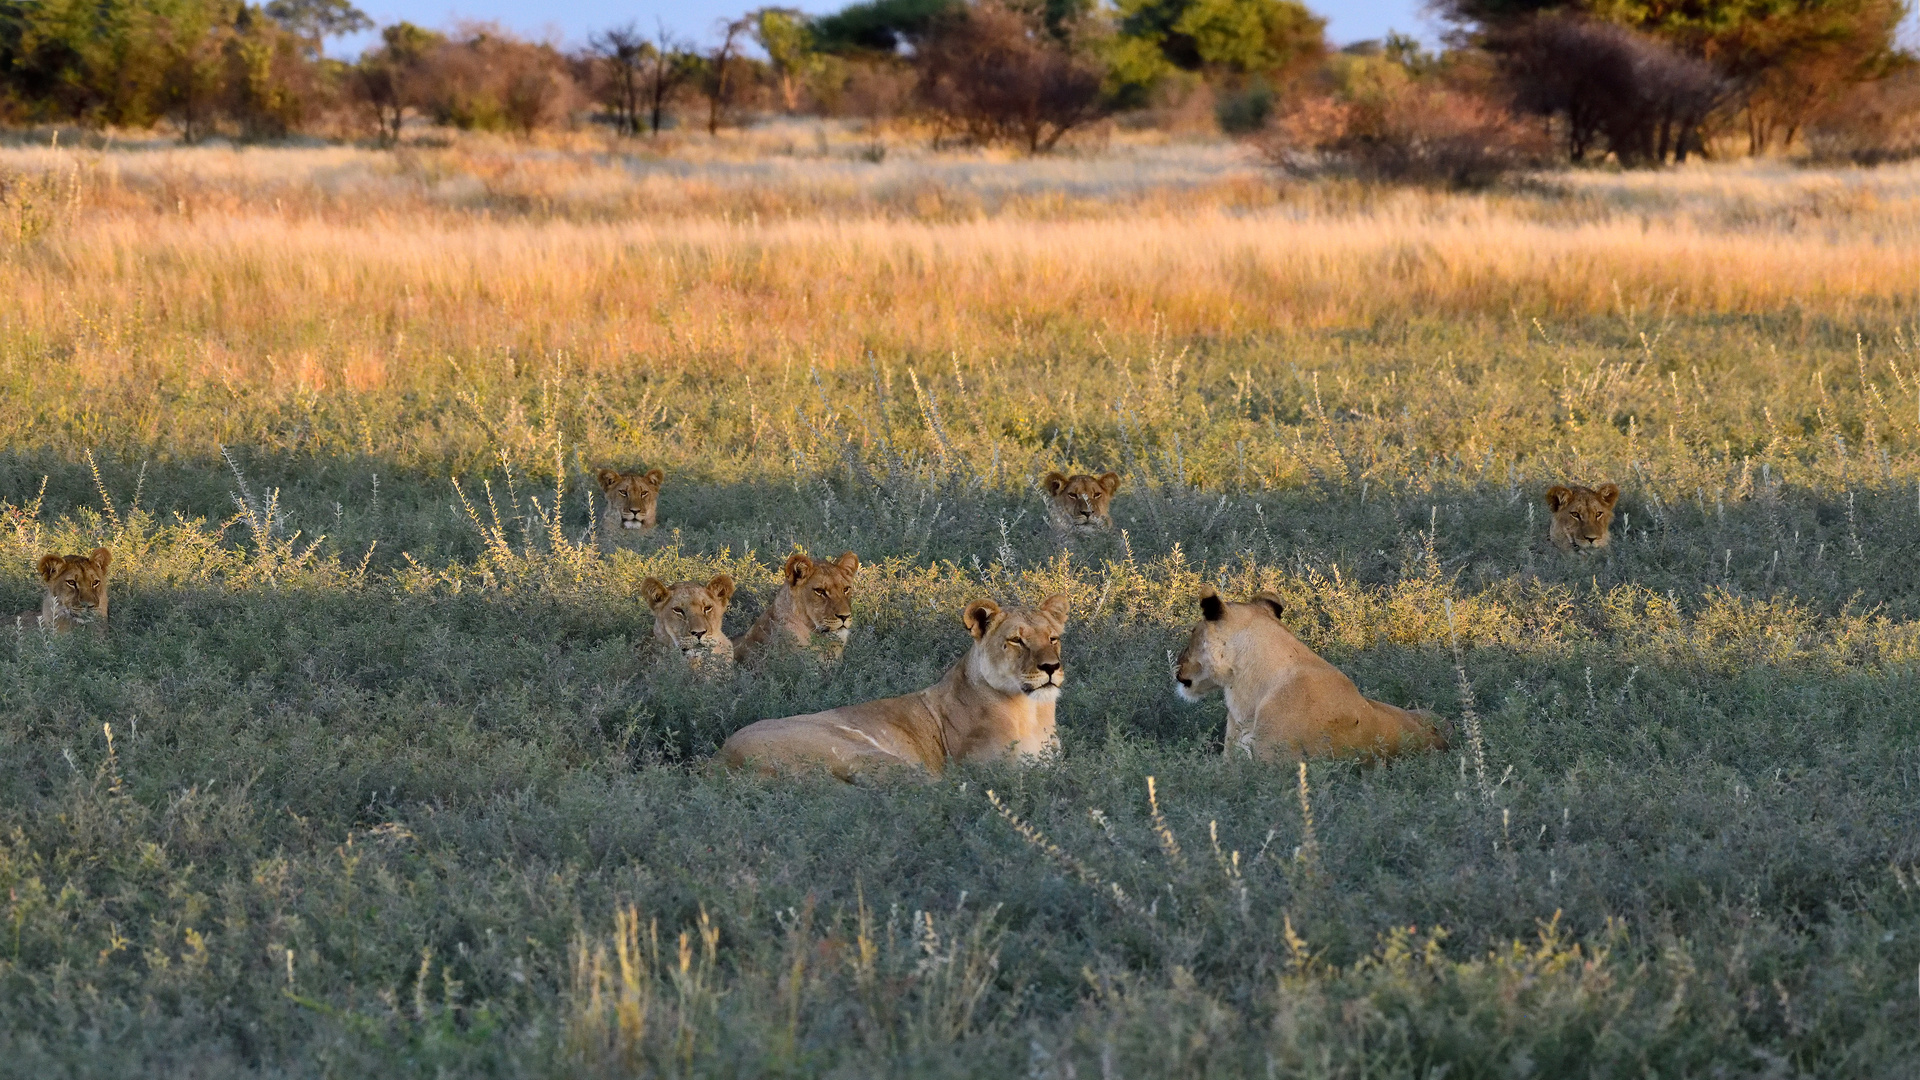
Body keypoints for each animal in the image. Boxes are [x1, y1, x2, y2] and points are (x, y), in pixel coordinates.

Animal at [719, 594, 1069, 780]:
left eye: (1053, 638)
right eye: (1016, 640)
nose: (1051, 667)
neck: (1031, 712)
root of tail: (720, 760)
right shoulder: (988, 768)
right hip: (865, 751)